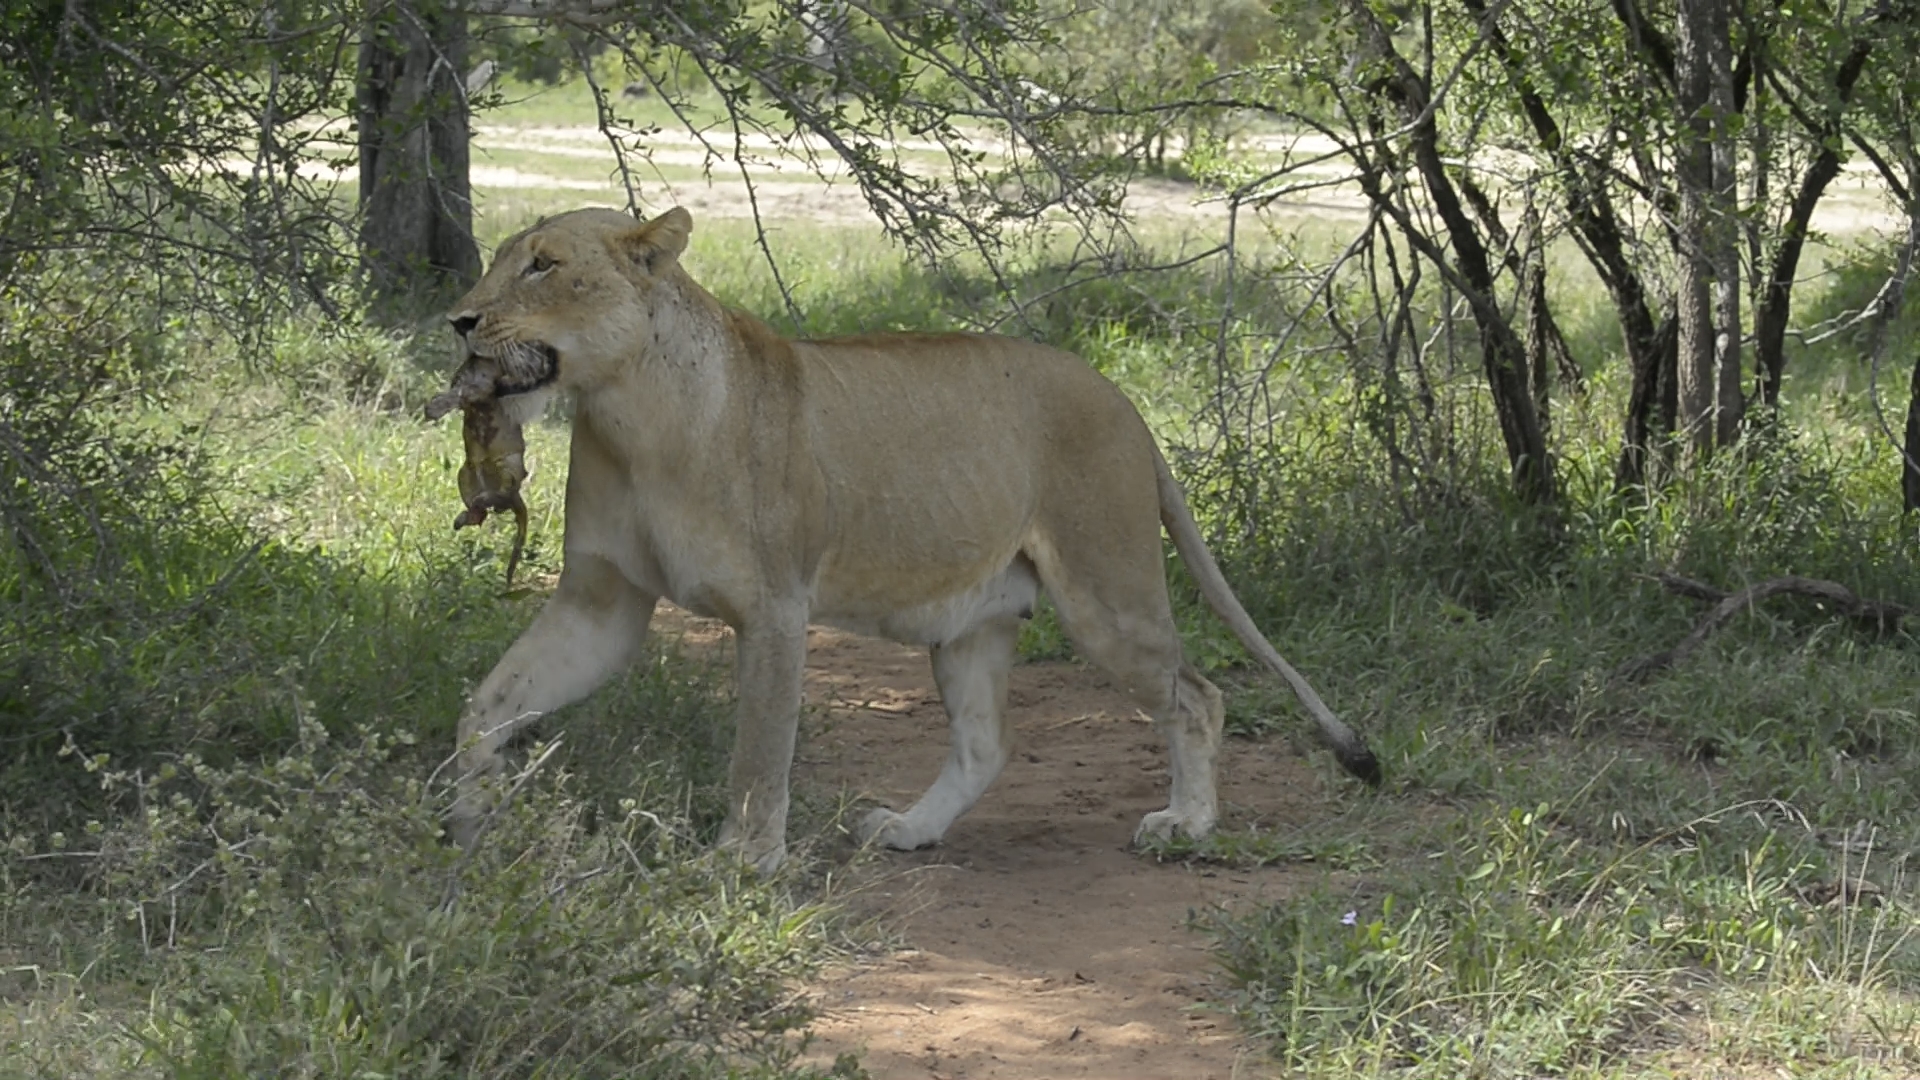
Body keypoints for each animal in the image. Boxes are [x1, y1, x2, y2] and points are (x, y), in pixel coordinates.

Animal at [436, 206, 1380, 870]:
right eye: (496, 258)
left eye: (544, 264)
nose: (459, 320)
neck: (625, 414)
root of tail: (1124, 403)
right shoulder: (603, 601)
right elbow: (490, 702)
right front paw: (472, 818)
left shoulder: (774, 609)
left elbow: (758, 754)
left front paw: (744, 863)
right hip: (973, 622)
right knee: (987, 743)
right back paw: (910, 829)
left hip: (1107, 591)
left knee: (1196, 695)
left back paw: (1186, 823)